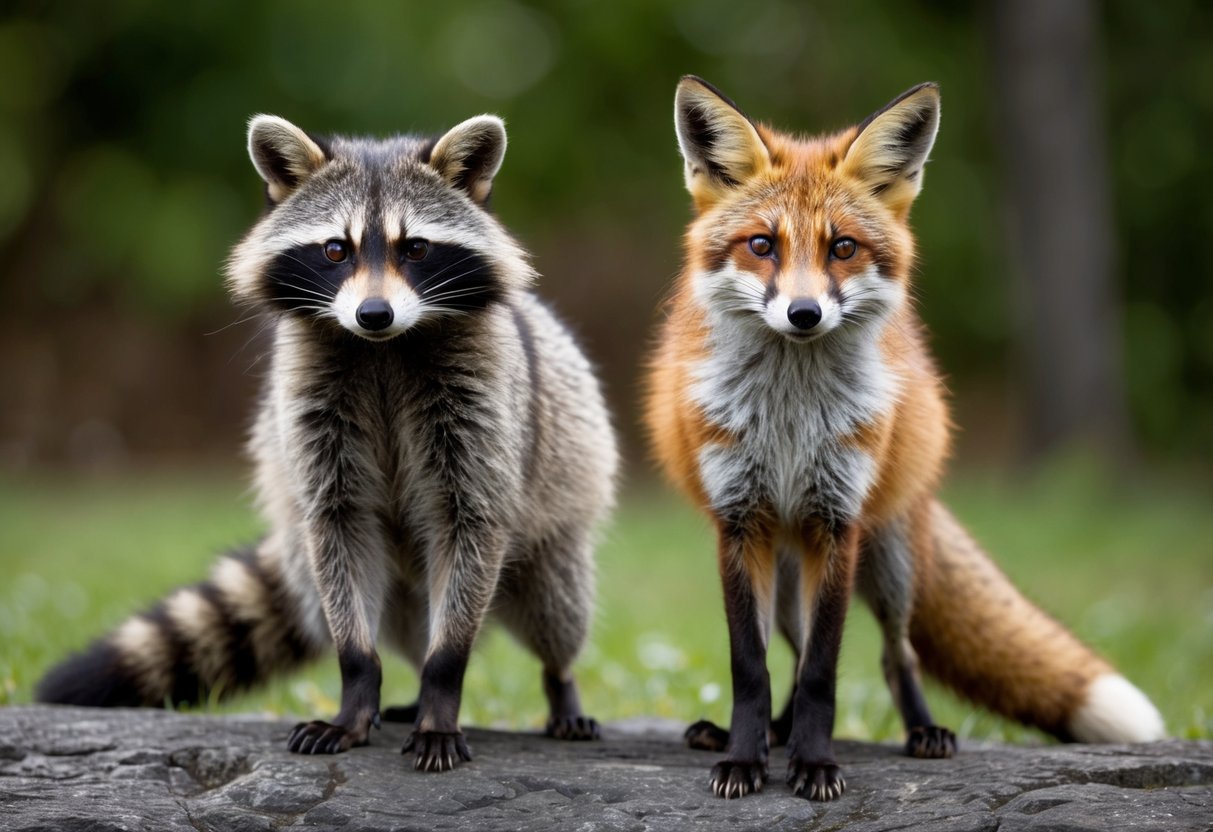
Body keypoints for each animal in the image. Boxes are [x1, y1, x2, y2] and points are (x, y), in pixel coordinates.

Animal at [37, 112, 618, 771]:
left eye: (415, 248)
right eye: (335, 250)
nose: (373, 313)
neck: (383, 348)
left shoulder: (482, 415)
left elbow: (472, 526)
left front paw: (444, 689)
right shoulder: (313, 417)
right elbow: (339, 537)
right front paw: (357, 693)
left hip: (555, 519)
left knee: (557, 609)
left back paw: (557, 684)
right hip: (328, 550)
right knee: (371, 607)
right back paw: (407, 687)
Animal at [644, 76, 1165, 801]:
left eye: (841, 248)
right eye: (761, 245)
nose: (803, 313)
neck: (789, 421)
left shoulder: (838, 523)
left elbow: (823, 671)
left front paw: (814, 764)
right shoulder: (738, 522)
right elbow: (753, 668)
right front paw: (746, 758)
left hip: (885, 561)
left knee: (897, 653)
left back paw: (921, 733)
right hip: (786, 573)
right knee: (790, 652)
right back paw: (761, 734)